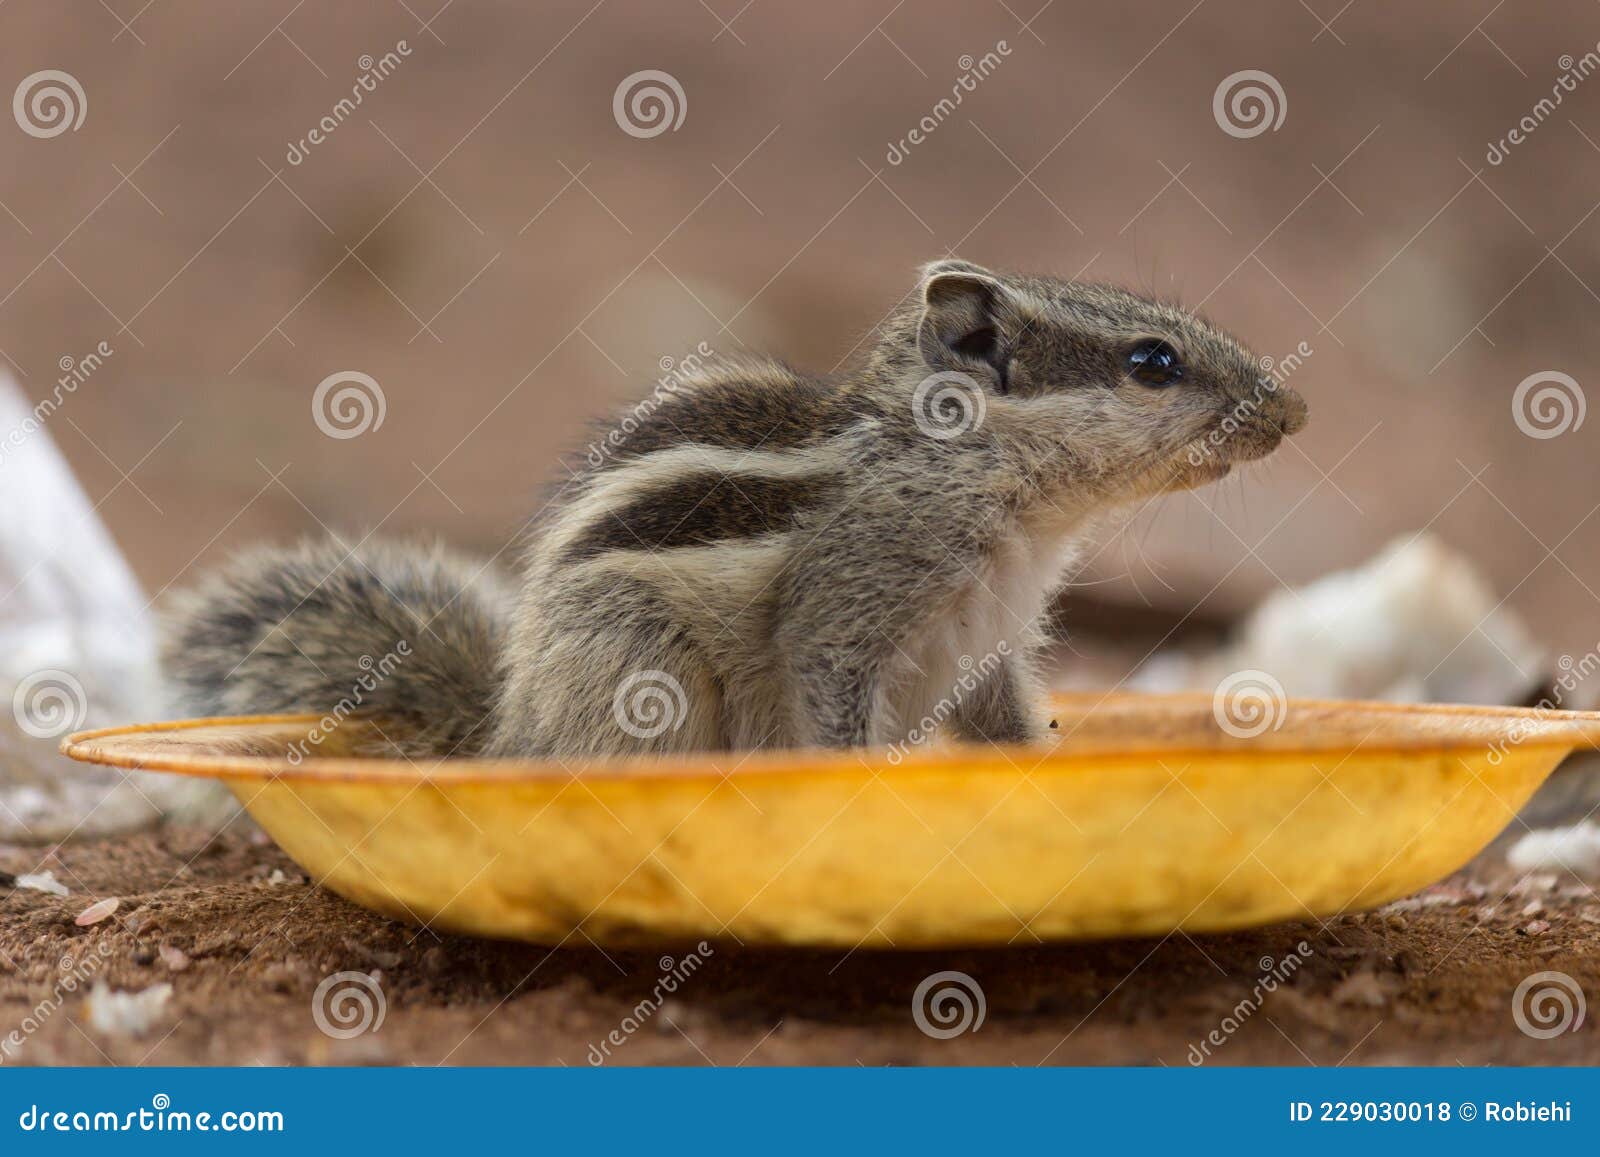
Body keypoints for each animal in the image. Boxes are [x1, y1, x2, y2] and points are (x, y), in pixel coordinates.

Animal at [162, 258, 1308, 760]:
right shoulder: (848, 604)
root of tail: (506, 731)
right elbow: (828, 681)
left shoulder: (992, 642)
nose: (1292, 411)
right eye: (1153, 363)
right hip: (642, 663)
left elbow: (1004, 722)